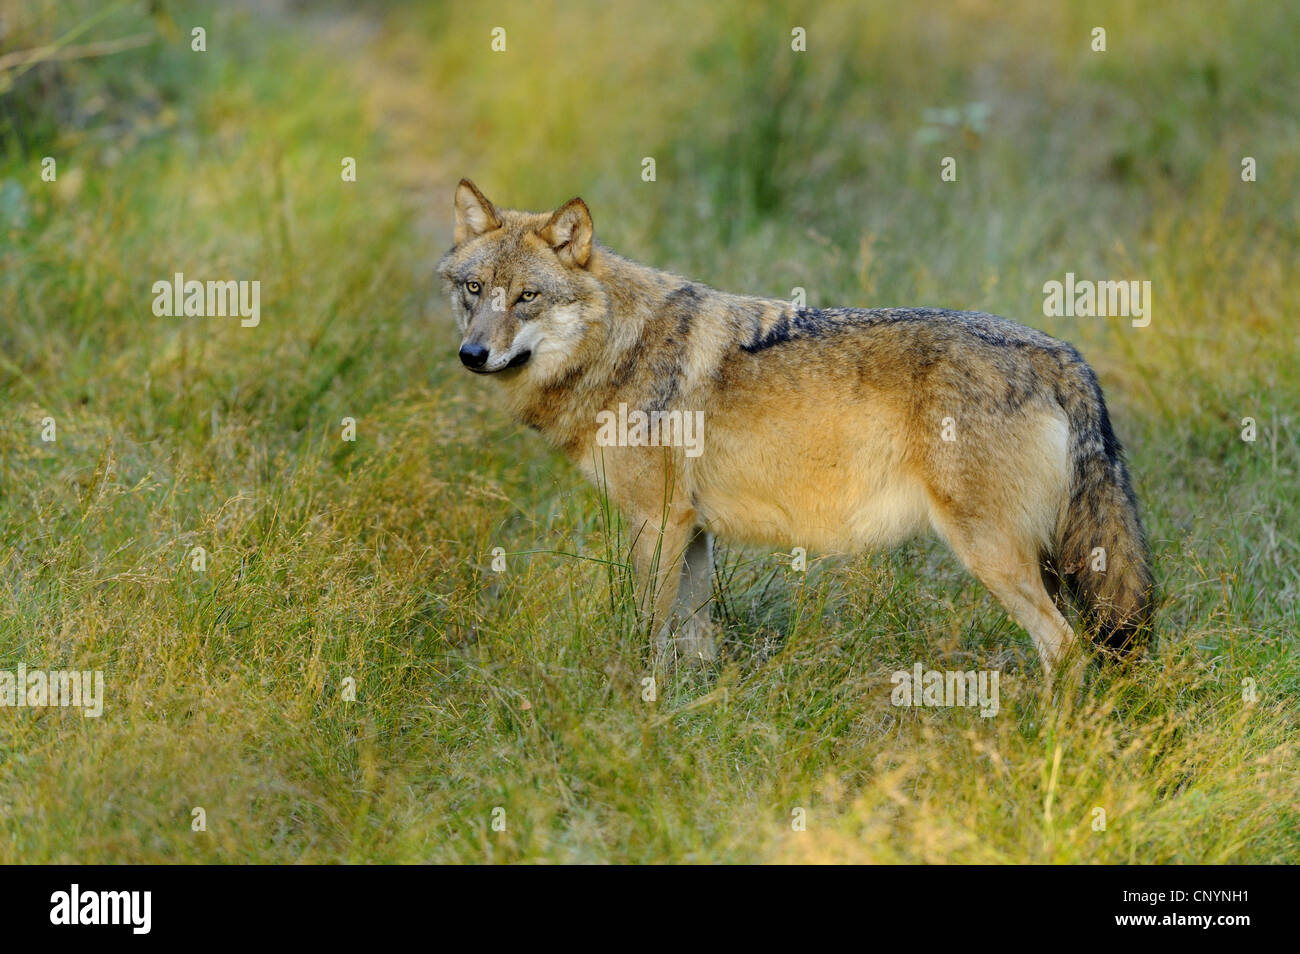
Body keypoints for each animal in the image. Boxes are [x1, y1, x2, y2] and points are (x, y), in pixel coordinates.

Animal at [437, 179, 1153, 677]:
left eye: (526, 297)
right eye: (474, 290)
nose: (472, 355)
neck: (620, 349)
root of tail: (1061, 352)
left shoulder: (657, 523)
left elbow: (647, 635)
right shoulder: (693, 532)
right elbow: (696, 642)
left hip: (992, 553)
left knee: (1065, 649)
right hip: (1046, 557)